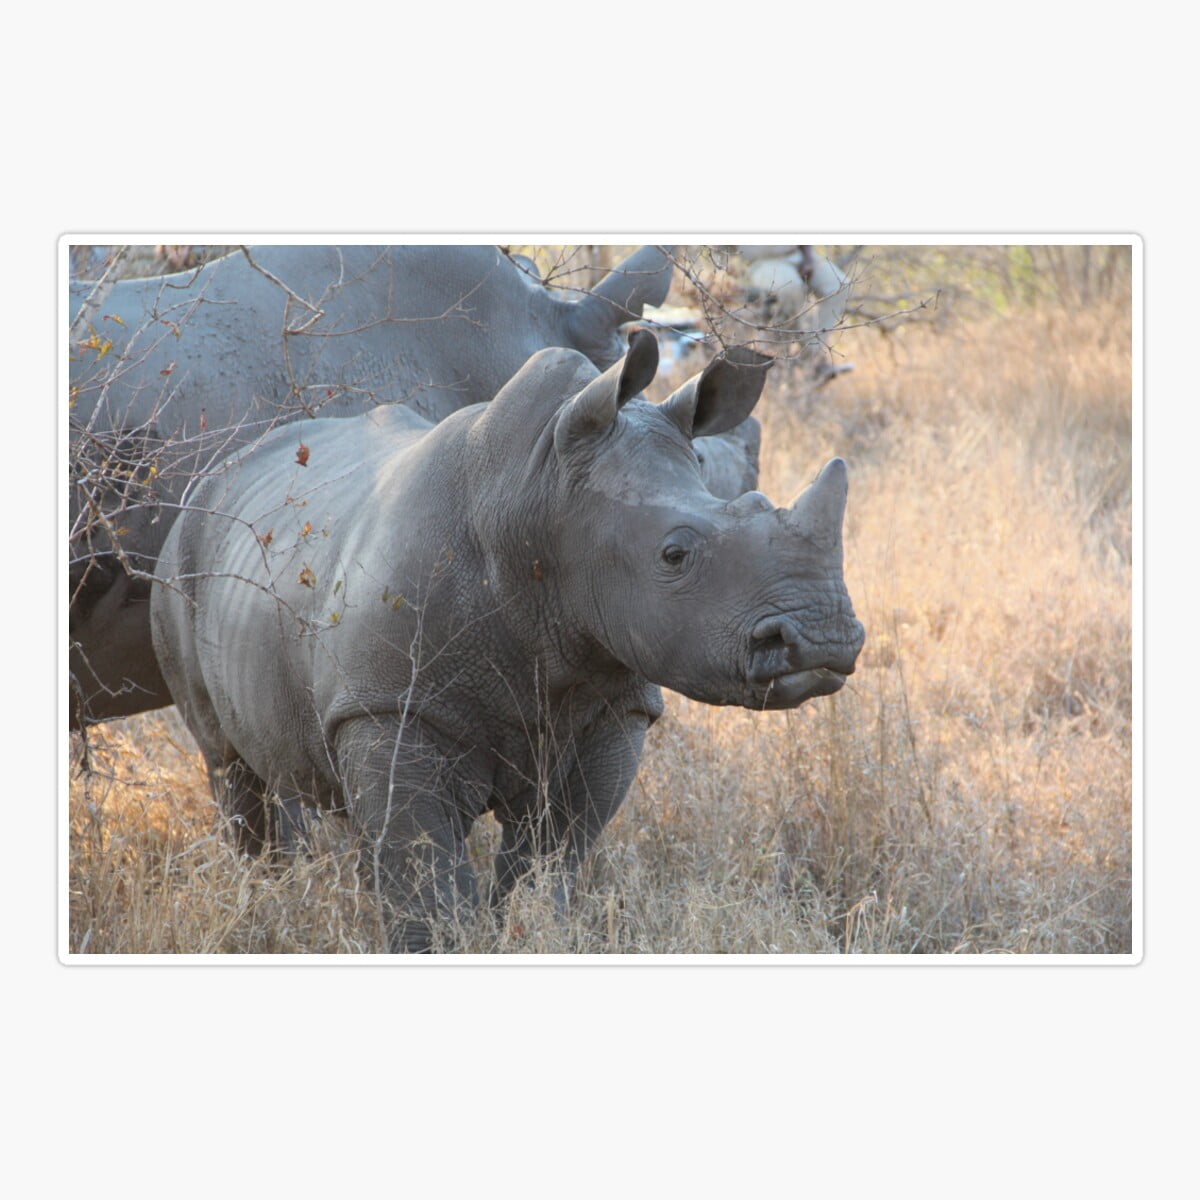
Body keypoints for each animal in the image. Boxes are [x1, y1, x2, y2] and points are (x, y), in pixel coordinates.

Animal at [150, 328, 865, 952]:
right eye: (675, 554)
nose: (824, 641)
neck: (539, 496)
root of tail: (217, 473)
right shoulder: (390, 706)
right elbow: (428, 884)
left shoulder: (615, 711)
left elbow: (548, 867)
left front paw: (527, 933)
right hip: (179, 558)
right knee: (229, 766)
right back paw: (264, 903)